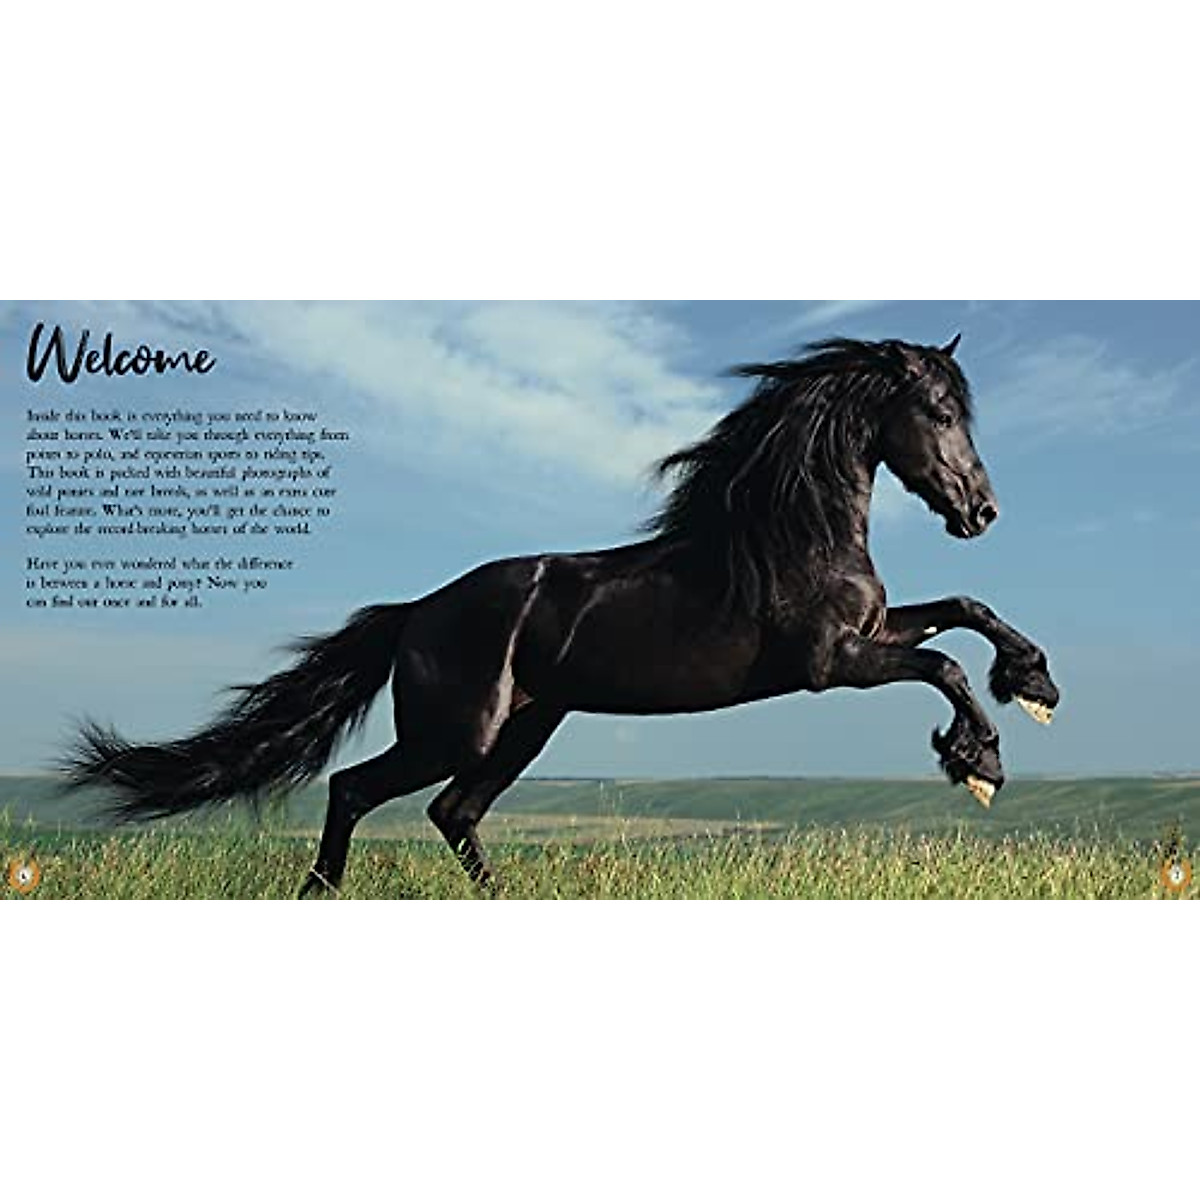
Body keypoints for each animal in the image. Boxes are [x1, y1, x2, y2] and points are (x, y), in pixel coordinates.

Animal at [62, 334, 1061, 896]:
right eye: (936, 410)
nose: (981, 512)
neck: (789, 534)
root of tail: (414, 611)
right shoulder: (830, 663)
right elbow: (943, 664)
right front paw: (979, 761)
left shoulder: (870, 633)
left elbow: (964, 611)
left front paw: (1035, 684)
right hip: (456, 730)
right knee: (358, 790)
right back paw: (318, 894)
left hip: (527, 727)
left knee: (454, 813)